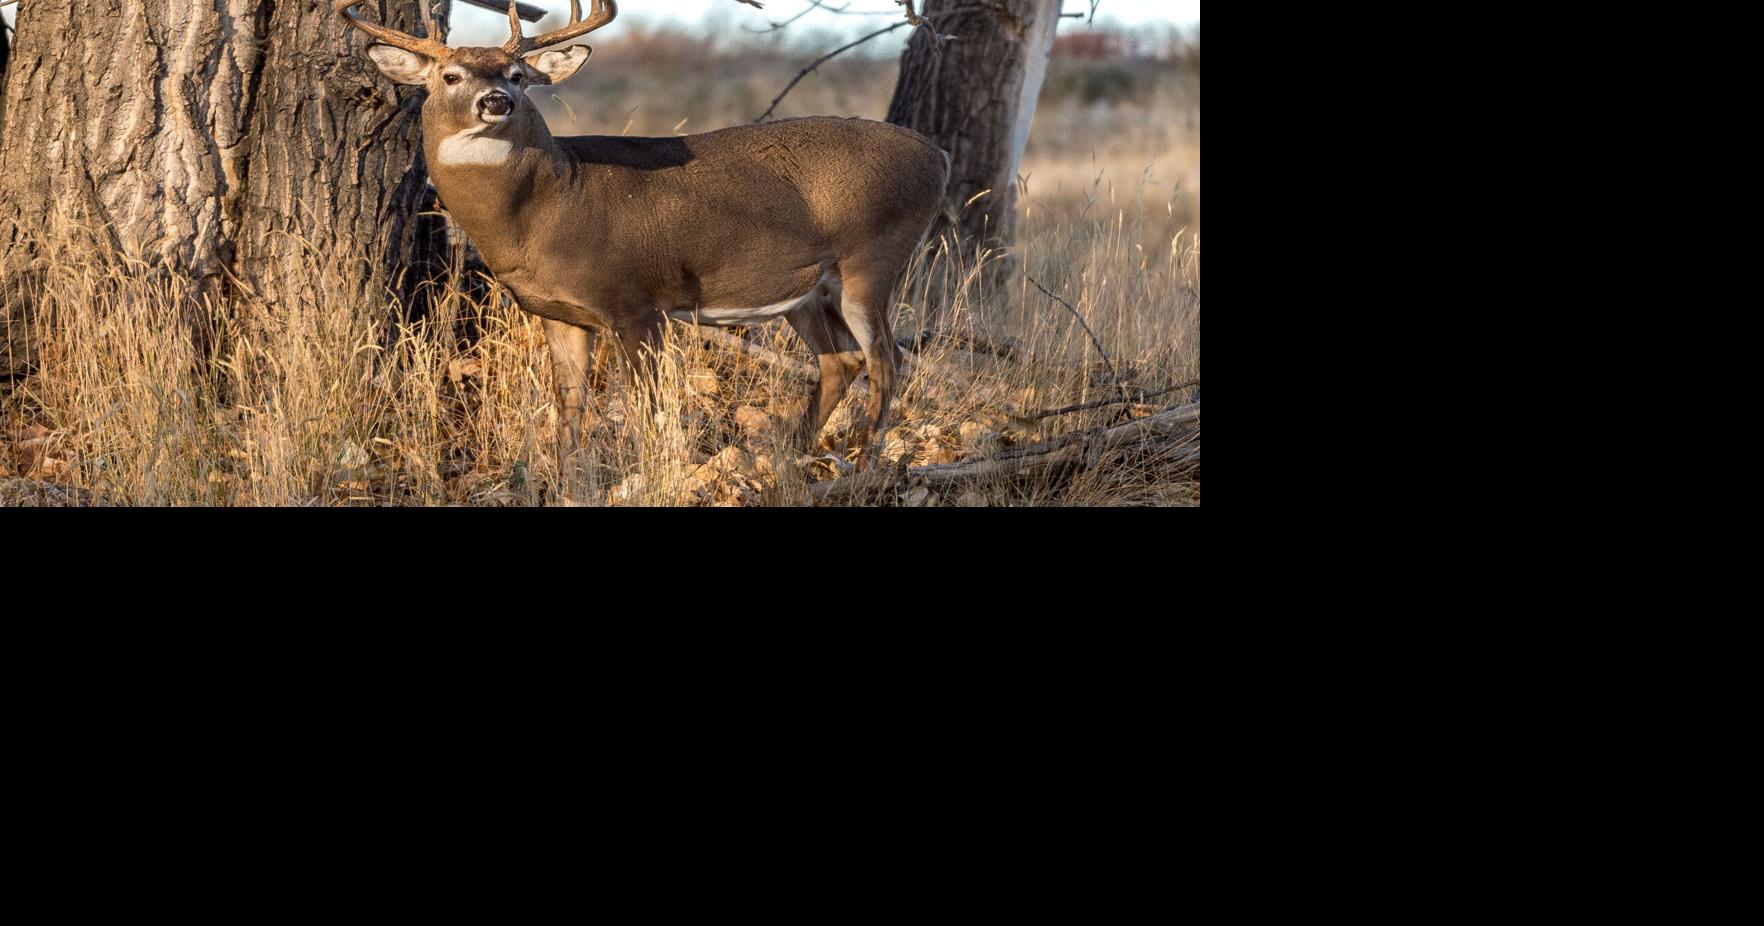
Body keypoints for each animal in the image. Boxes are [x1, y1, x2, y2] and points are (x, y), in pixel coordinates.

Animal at [335, 0, 950, 455]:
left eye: (518, 75)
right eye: (450, 75)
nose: (496, 100)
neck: (545, 209)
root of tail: (938, 155)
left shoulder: (638, 299)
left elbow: (650, 410)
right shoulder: (559, 312)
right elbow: (570, 410)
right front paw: (569, 478)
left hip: (874, 257)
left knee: (886, 361)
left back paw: (860, 459)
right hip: (806, 290)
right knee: (841, 360)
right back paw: (791, 454)